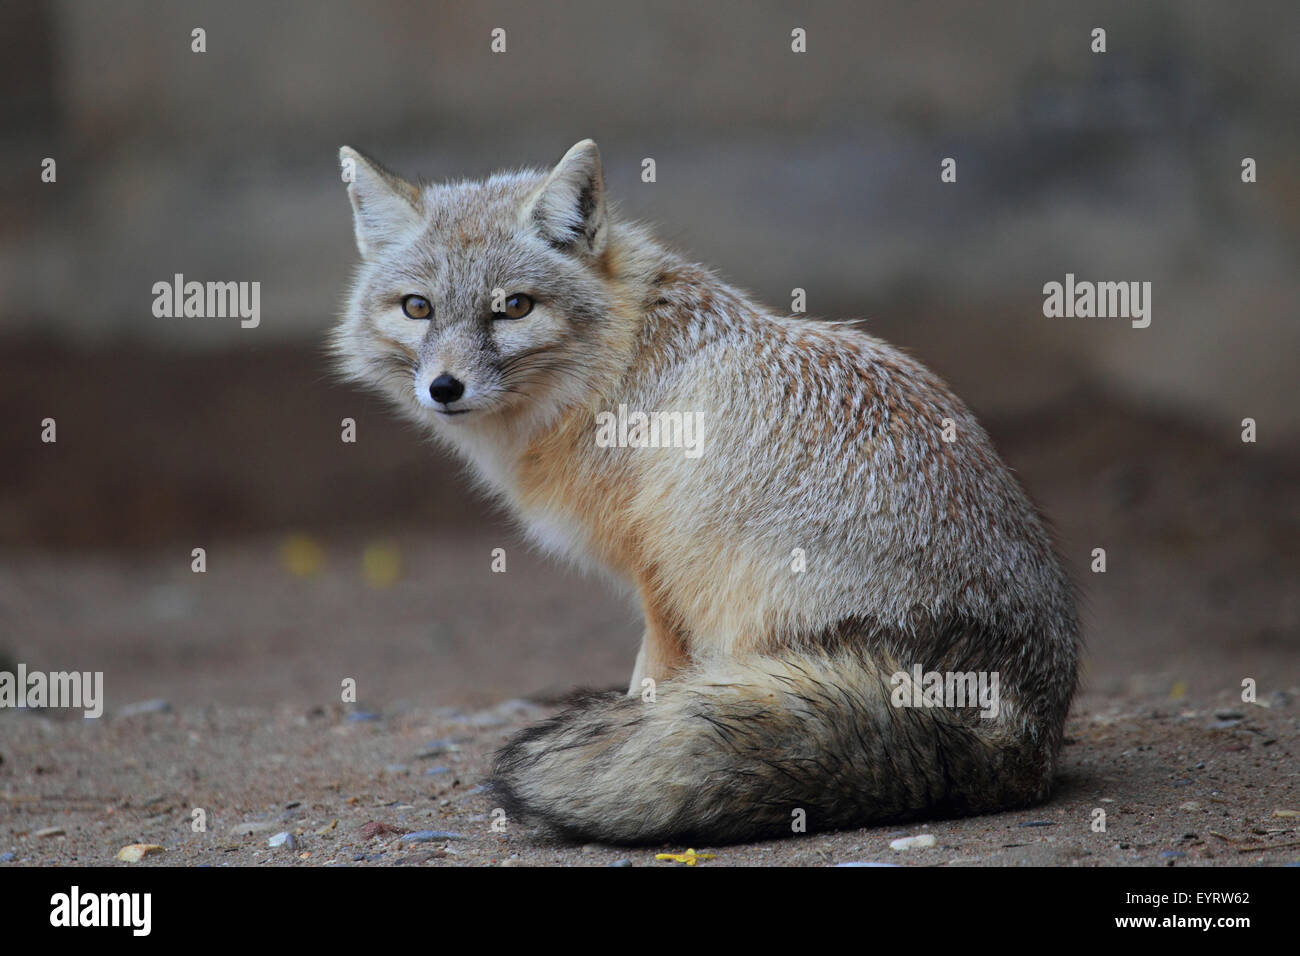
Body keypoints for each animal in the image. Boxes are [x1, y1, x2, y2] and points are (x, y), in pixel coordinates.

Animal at [331, 139, 1081, 845]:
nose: (444, 388)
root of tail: (1021, 731)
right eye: (418, 308)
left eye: (513, 307)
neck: (622, 359)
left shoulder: (658, 576)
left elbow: (651, 686)